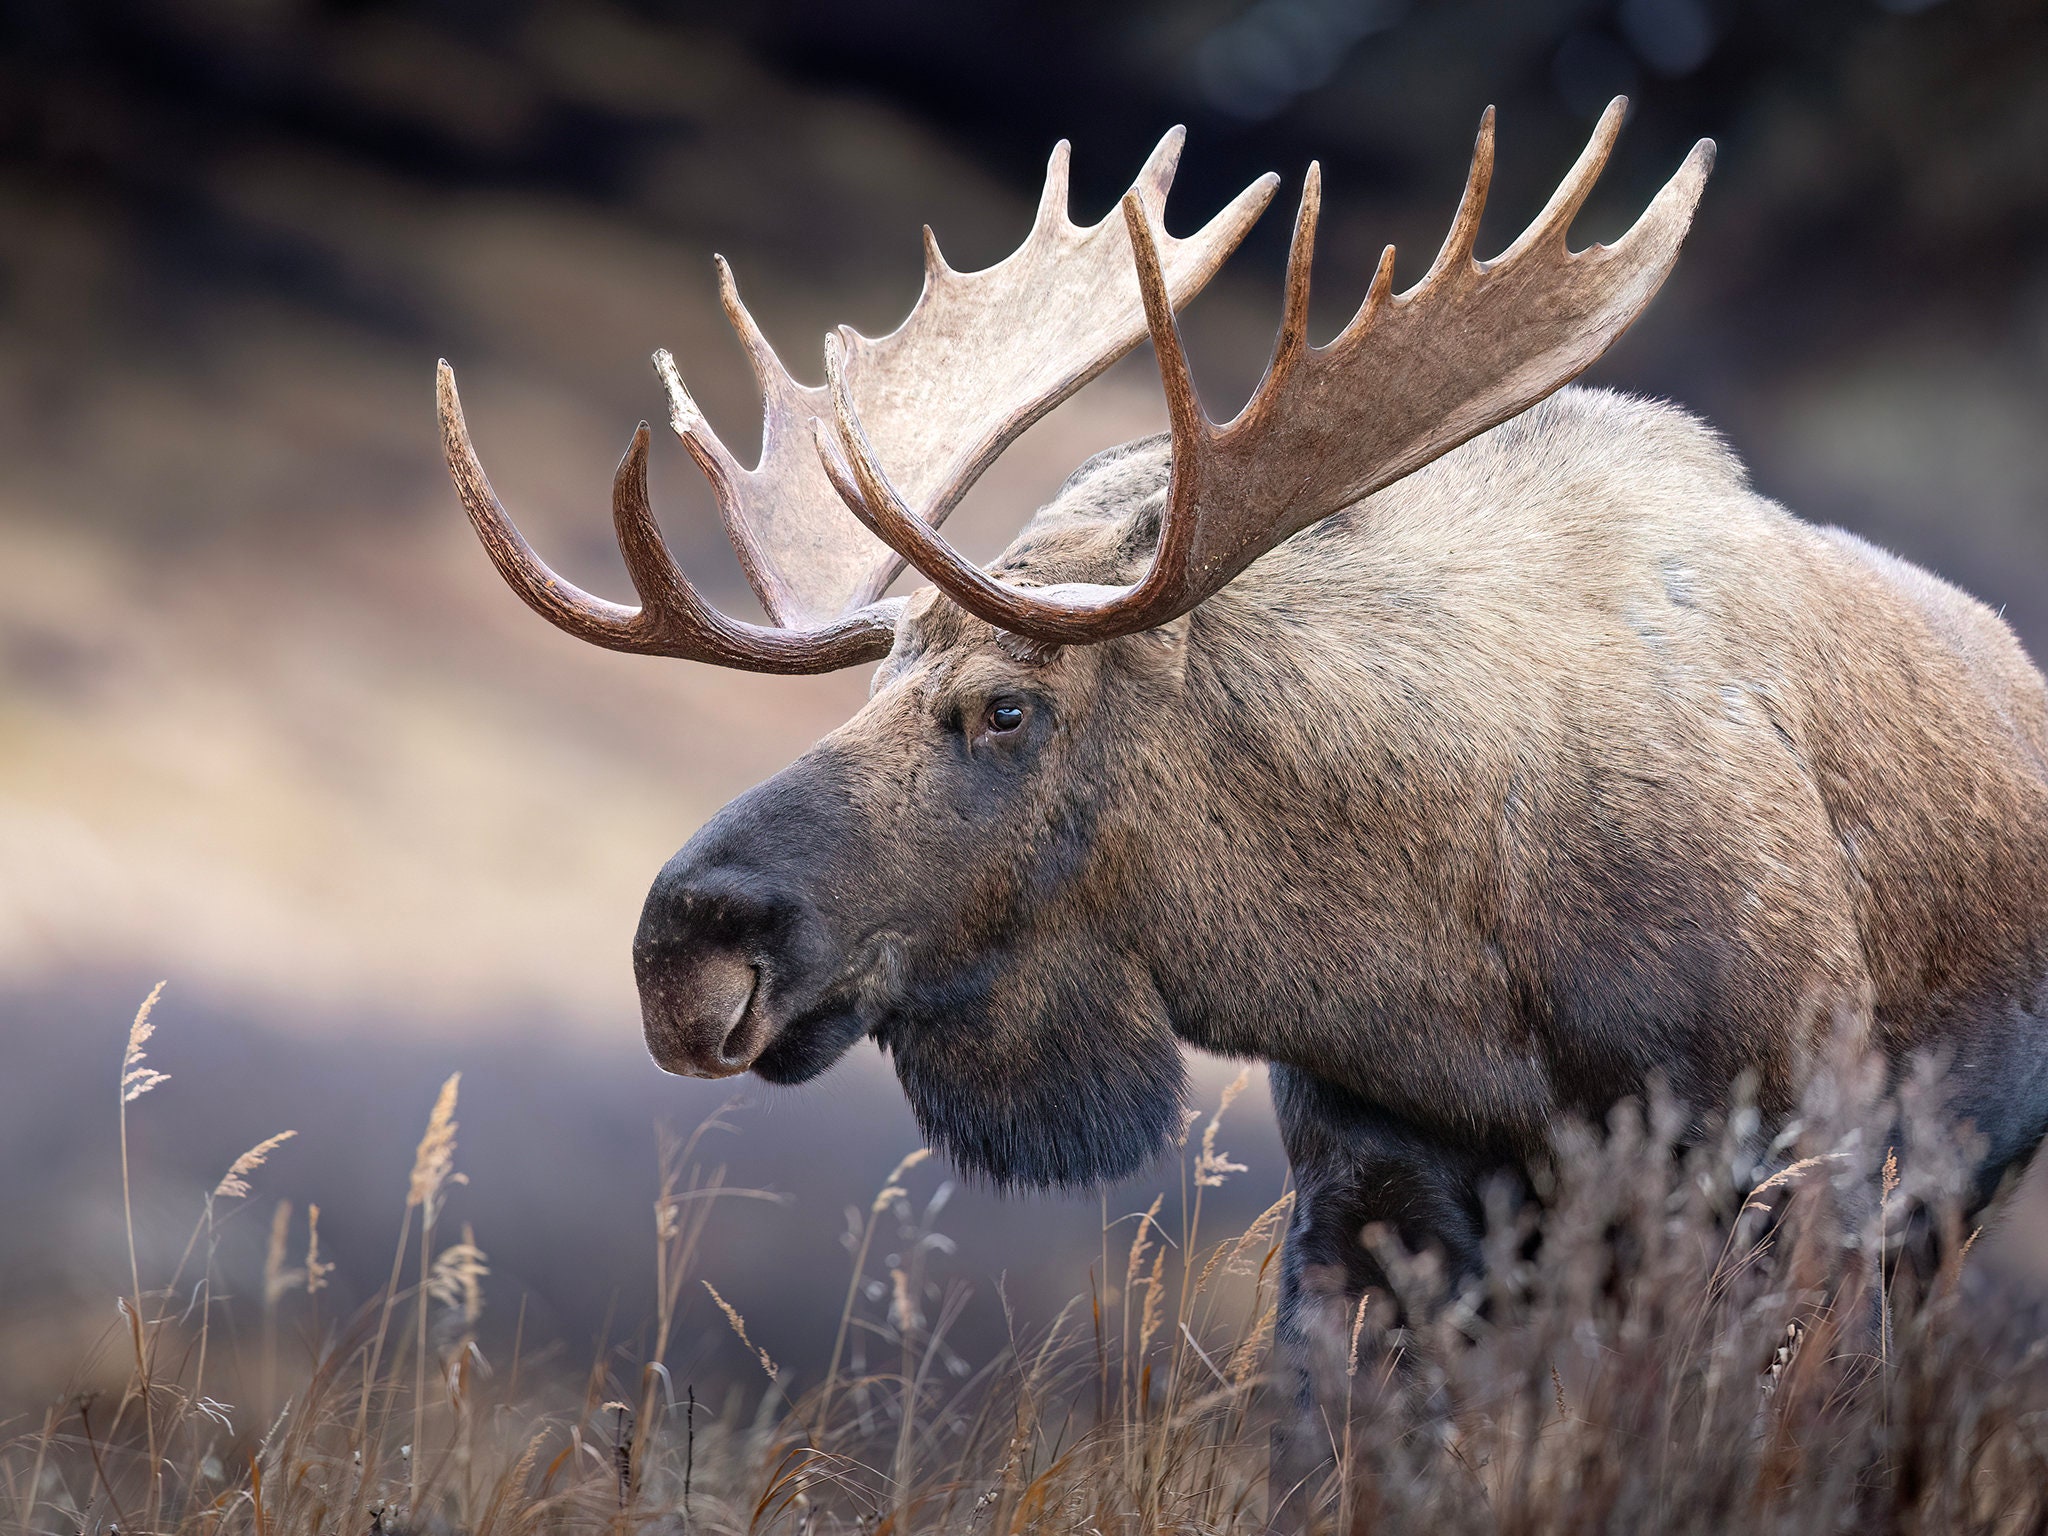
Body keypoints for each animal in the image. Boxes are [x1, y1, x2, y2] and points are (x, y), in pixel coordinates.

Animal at [437, 99, 2048, 1514]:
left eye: (1009, 706)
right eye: (874, 684)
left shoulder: (1794, 1168)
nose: (683, 943)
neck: (1455, 982)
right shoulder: (1367, 1197)